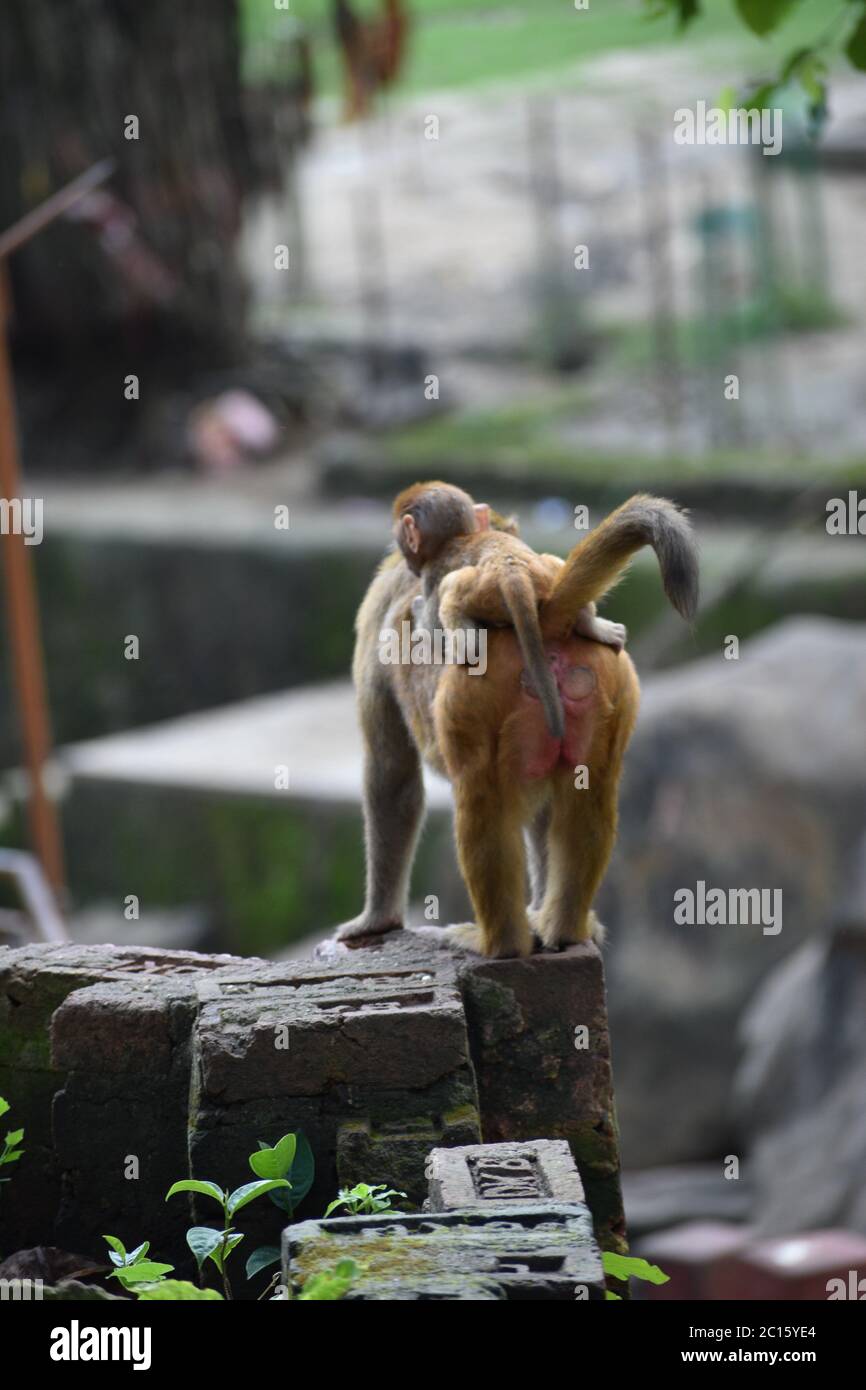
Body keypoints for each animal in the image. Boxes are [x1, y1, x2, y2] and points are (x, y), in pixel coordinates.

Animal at [392, 481, 627, 742]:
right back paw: (591, 625)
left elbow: (432, 626)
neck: (456, 538)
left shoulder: (430, 573)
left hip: (482, 591)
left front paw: (419, 609)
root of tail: (511, 570)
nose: (408, 562)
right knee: (555, 564)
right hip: (542, 575)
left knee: (452, 589)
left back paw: (463, 651)